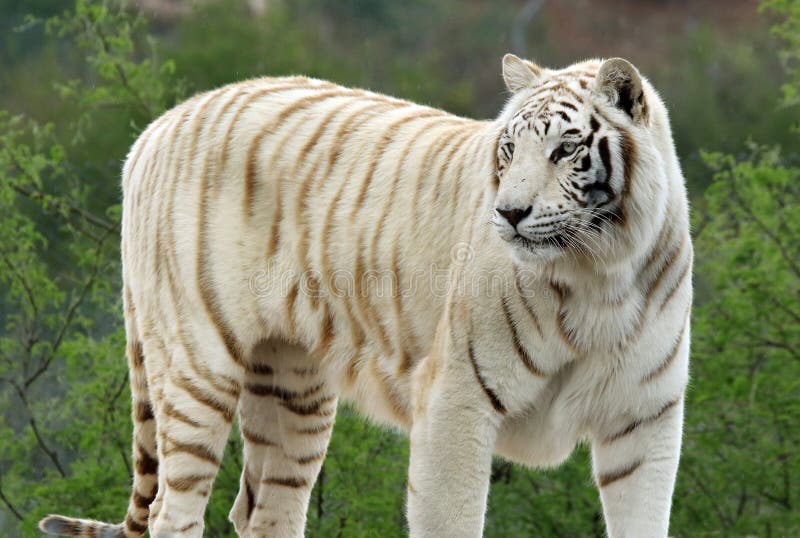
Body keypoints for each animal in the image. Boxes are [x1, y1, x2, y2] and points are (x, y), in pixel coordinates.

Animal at [39, 53, 692, 538]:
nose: (508, 212)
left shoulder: (644, 416)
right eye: (509, 150)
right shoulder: (457, 400)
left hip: (294, 386)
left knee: (264, 507)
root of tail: (152, 130)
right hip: (197, 365)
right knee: (171, 511)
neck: (600, 275)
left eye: (564, 149)